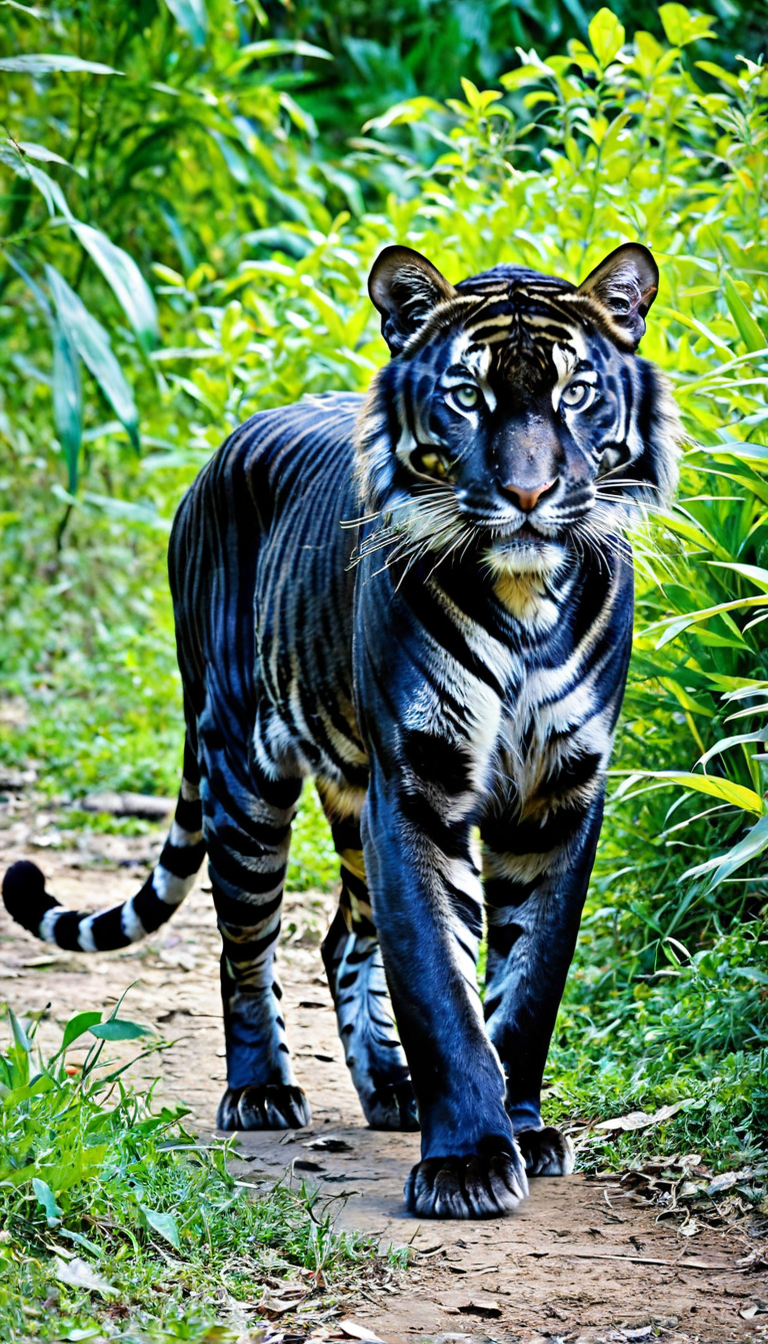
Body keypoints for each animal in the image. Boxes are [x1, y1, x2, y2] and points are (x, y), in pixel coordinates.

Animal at [3, 242, 679, 1220]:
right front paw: (469, 1162)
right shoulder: (420, 784)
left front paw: (519, 1130)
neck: (524, 597)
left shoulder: (557, 796)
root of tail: (216, 458)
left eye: (575, 393)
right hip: (244, 777)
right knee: (246, 946)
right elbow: (437, 978)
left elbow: (528, 979)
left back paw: (390, 1089)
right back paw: (260, 1089)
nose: (528, 491)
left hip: (351, 793)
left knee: (342, 939)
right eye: (467, 395)